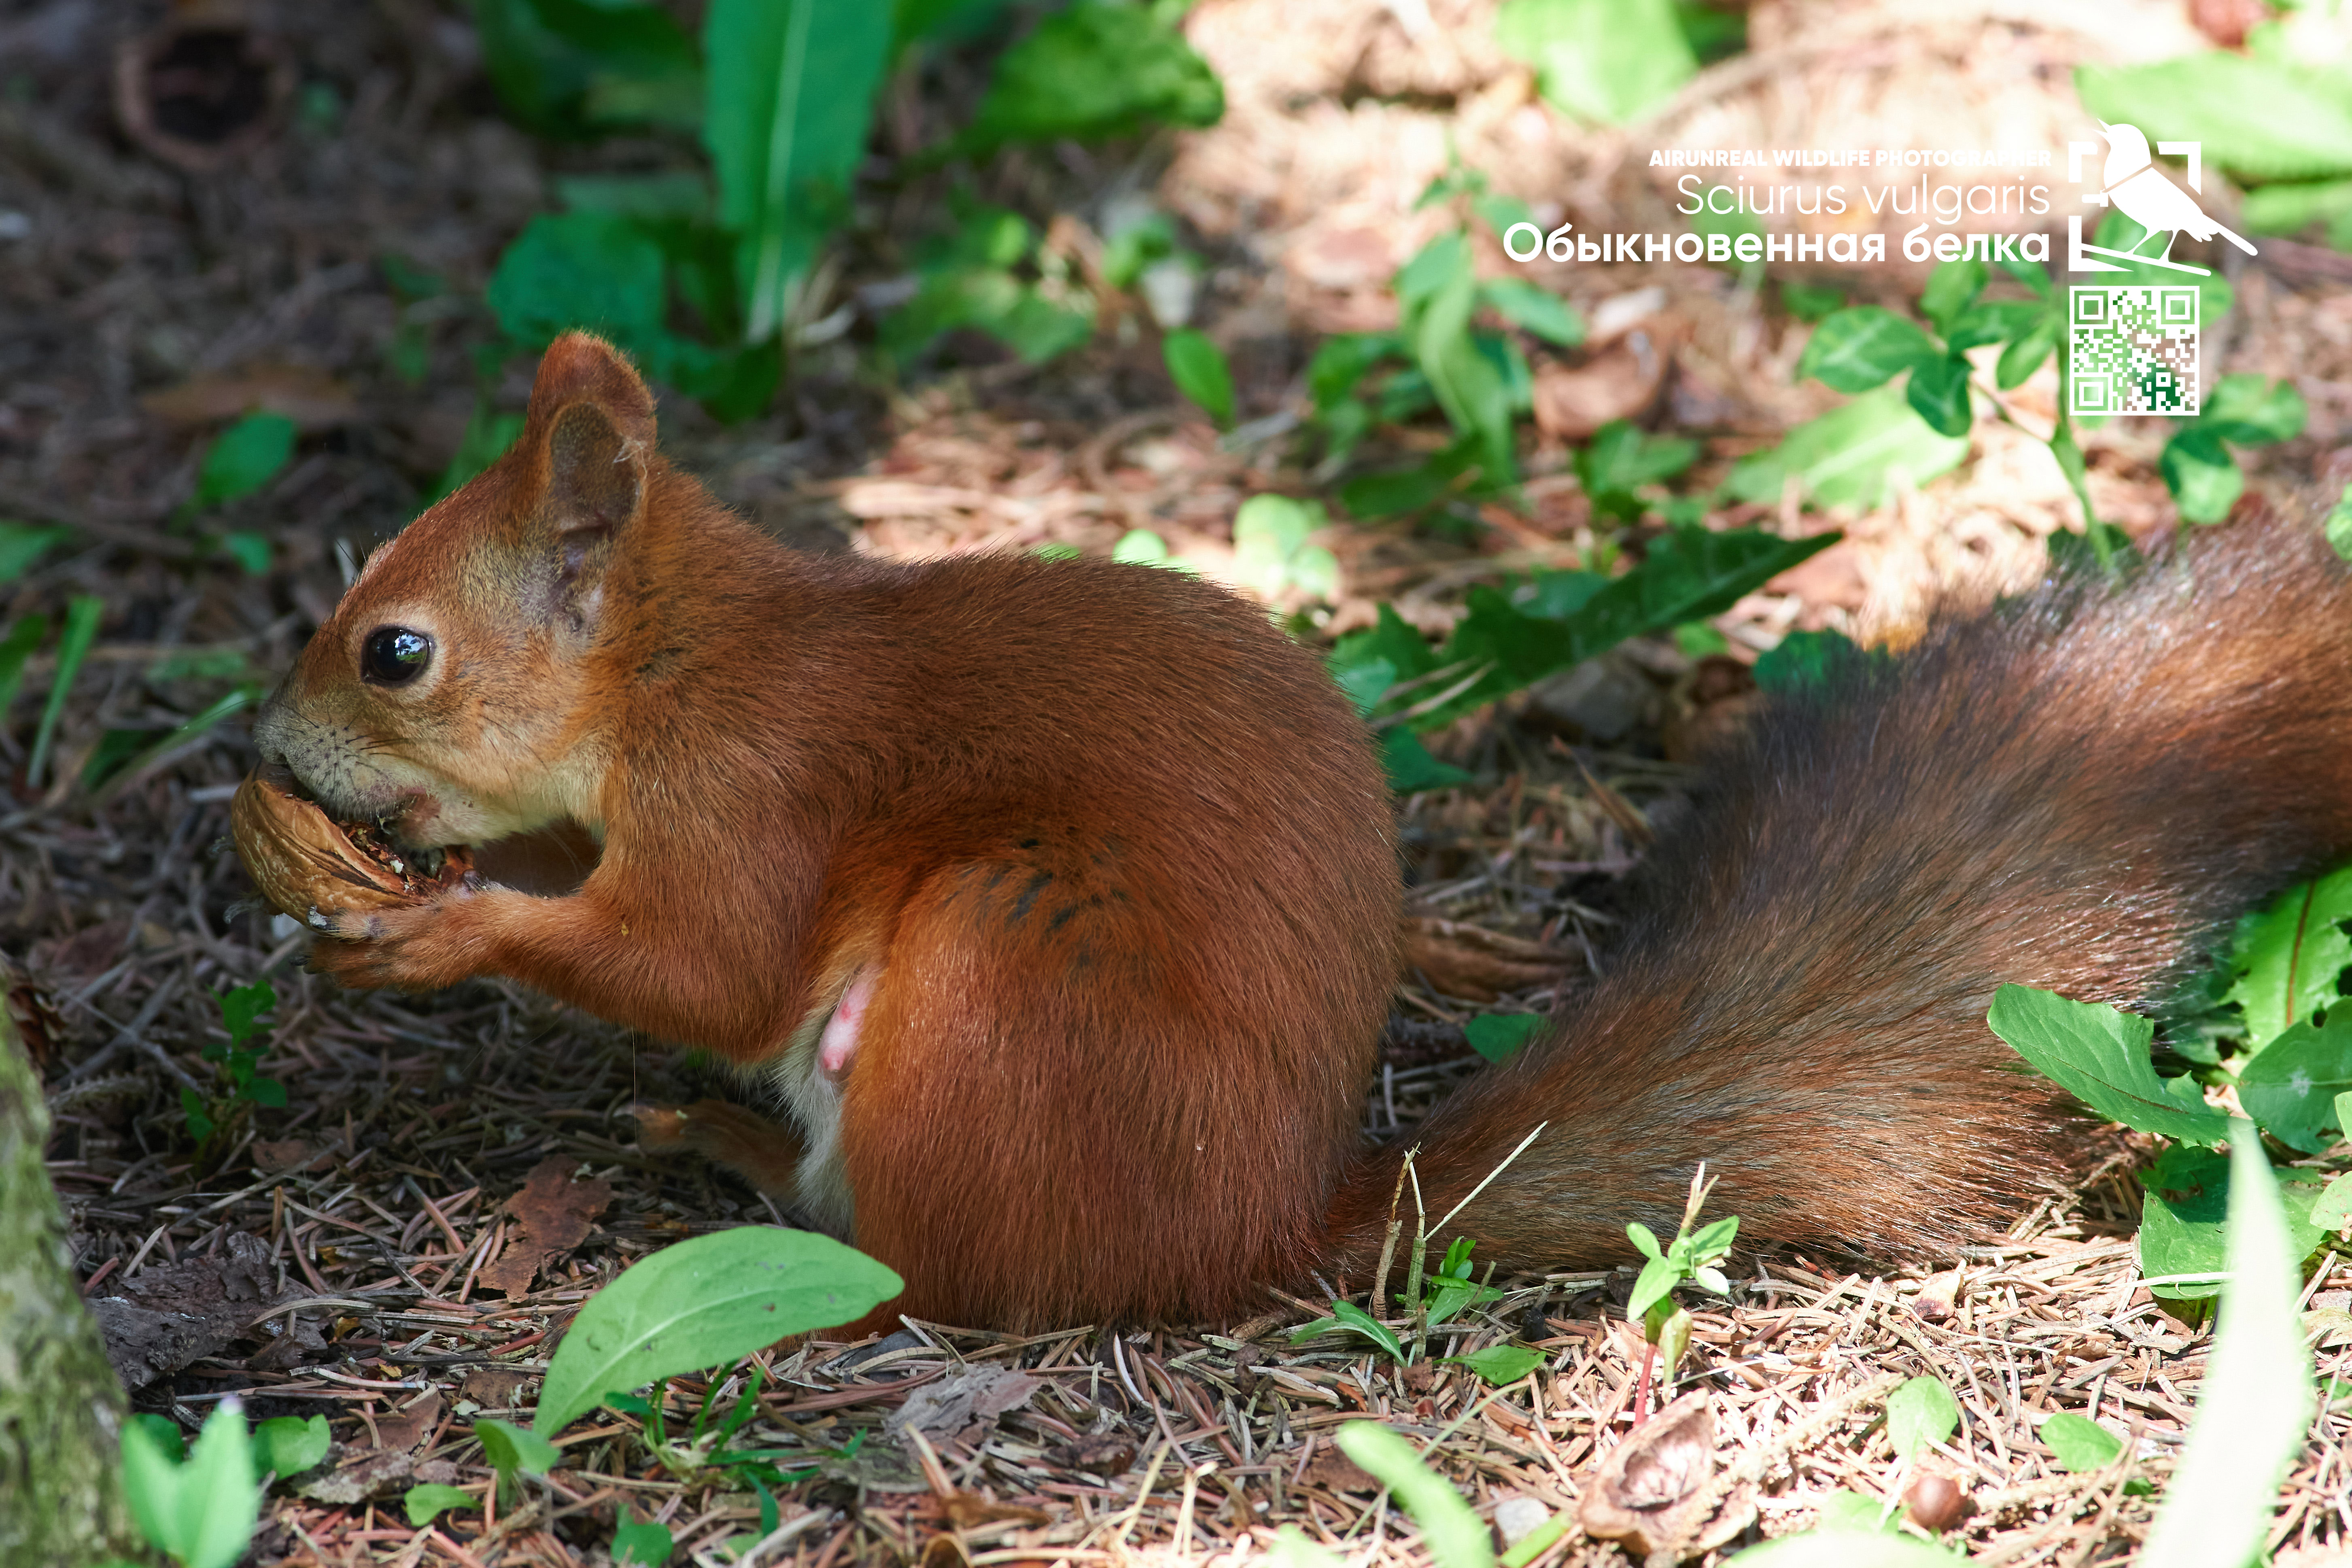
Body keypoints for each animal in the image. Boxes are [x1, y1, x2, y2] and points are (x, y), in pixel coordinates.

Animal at [248, 338, 2352, 1335]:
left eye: (396, 648)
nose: (266, 744)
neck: (674, 661)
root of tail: (1263, 1228)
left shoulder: (753, 786)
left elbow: (701, 958)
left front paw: (439, 925)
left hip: (1002, 972)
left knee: (932, 1273)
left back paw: (766, 1186)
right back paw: (724, 1138)